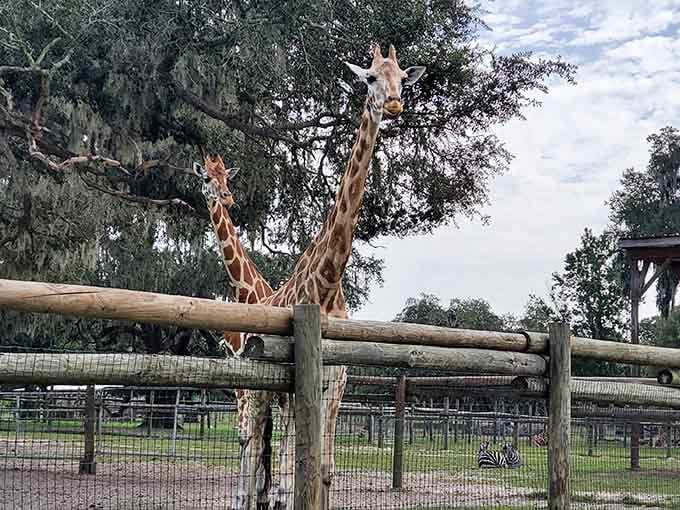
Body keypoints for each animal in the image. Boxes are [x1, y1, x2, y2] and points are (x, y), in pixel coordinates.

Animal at [236, 43, 426, 510]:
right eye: (370, 78)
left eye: (402, 78)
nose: (394, 104)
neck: (324, 289)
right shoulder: (294, 387)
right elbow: (289, 478)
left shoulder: (334, 385)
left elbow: (322, 470)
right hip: (256, 393)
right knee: (251, 462)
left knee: (267, 464)